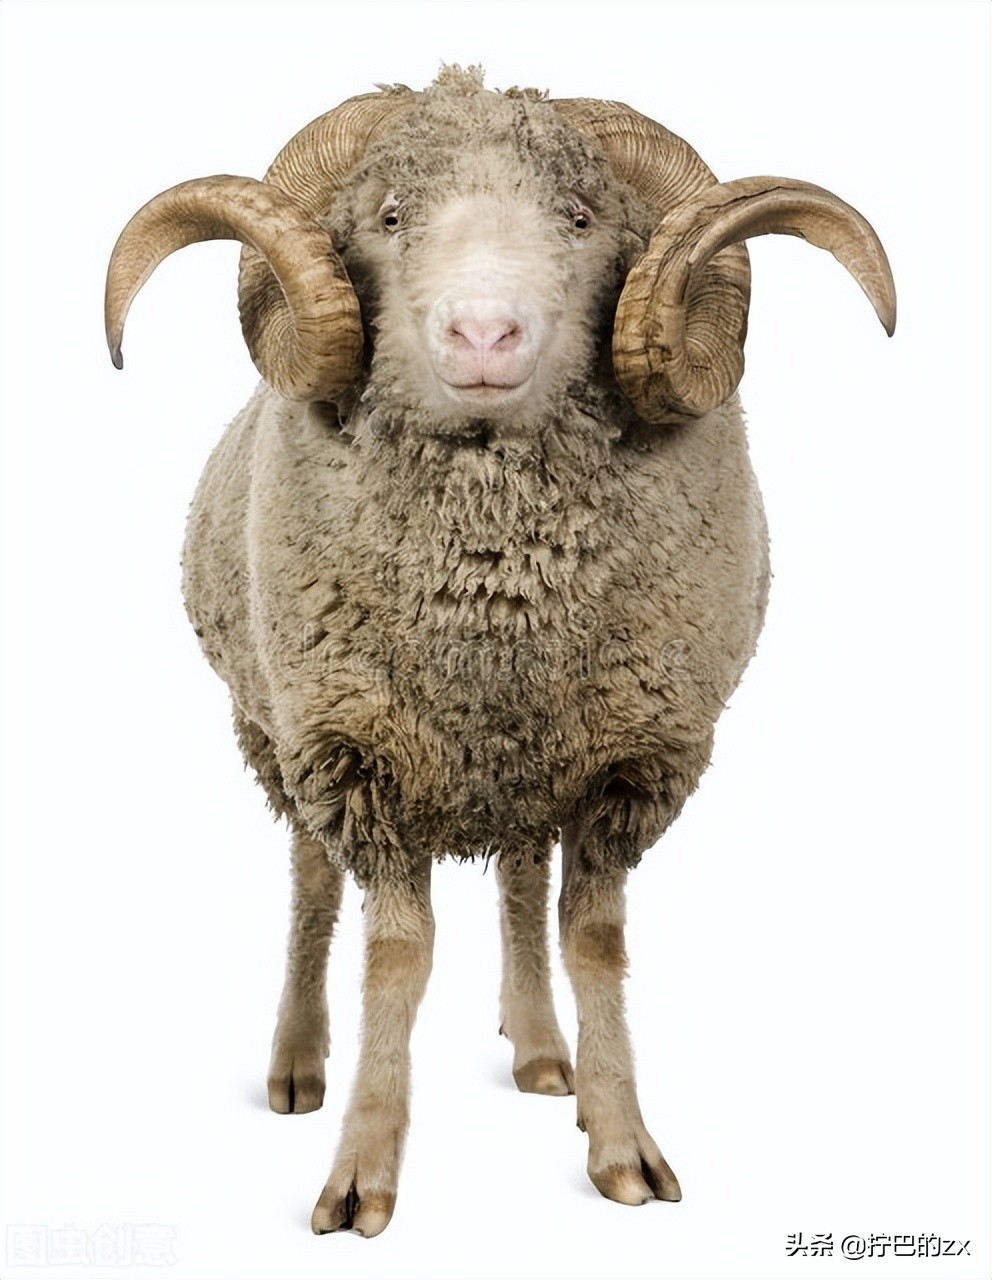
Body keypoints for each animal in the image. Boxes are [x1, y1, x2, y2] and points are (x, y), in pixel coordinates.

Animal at [104, 64, 895, 1237]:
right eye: (389, 216)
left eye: (580, 217)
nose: (484, 334)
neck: (494, 588)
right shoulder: (355, 757)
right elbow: (395, 955)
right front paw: (361, 1171)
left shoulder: (632, 763)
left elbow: (591, 941)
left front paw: (622, 1145)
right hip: (271, 728)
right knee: (309, 883)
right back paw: (298, 1061)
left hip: (529, 761)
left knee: (523, 879)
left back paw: (540, 1051)